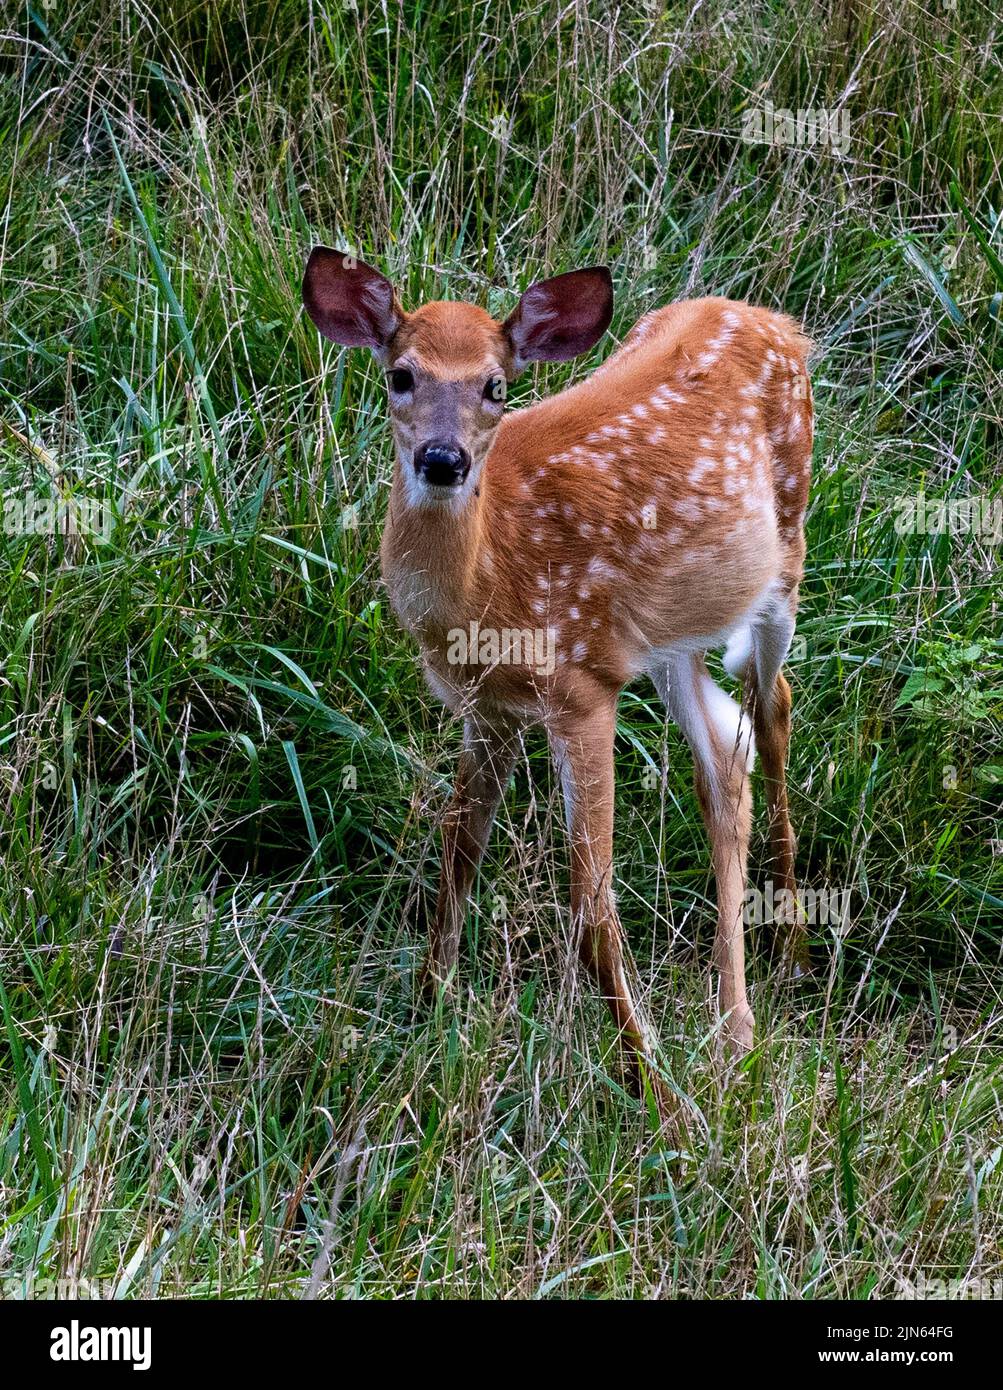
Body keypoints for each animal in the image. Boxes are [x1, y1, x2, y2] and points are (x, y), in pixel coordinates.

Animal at [302, 247, 813, 1111]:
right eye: (400, 375)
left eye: (494, 386)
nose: (443, 460)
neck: (490, 580)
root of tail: (772, 319)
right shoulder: (490, 707)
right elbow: (458, 852)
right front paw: (428, 1005)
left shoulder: (581, 687)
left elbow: (589, 906)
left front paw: (654, 1092)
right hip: (670, 637)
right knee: (723, 759)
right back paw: (735, 1026)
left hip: (788, 543)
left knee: (769, 707)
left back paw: (795, 959)